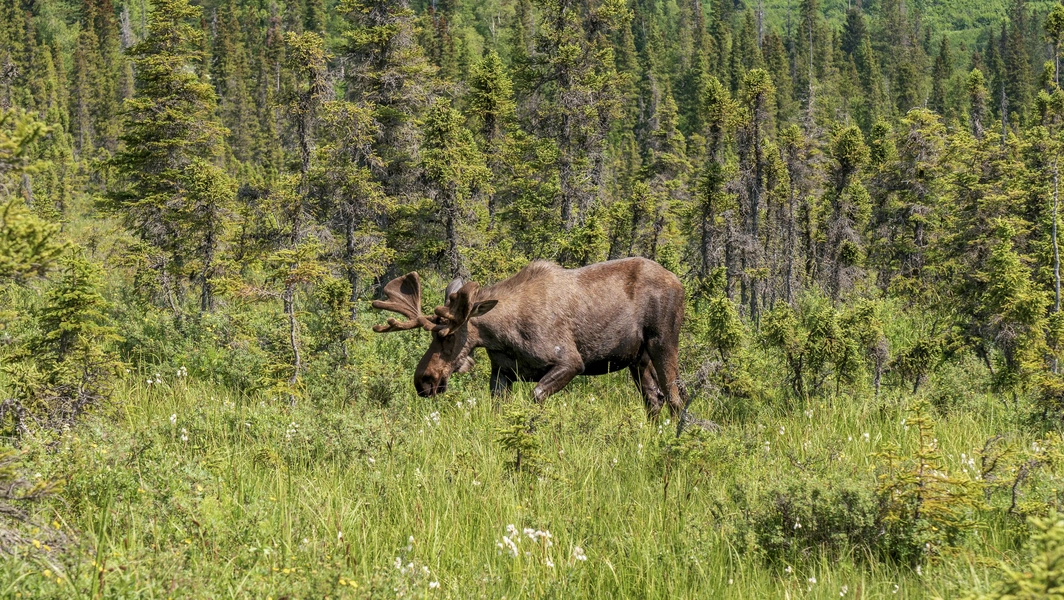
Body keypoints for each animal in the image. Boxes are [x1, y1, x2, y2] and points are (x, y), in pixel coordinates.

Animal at [371, 257, 686, 418]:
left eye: (448, 335)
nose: (423, 381)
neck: (502, 337)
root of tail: (679, 281)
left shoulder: (571, 362)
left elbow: (537, 396)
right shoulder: (502, 374)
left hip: (663, 340)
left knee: (674, 398)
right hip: (637, 359)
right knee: (654, 400)